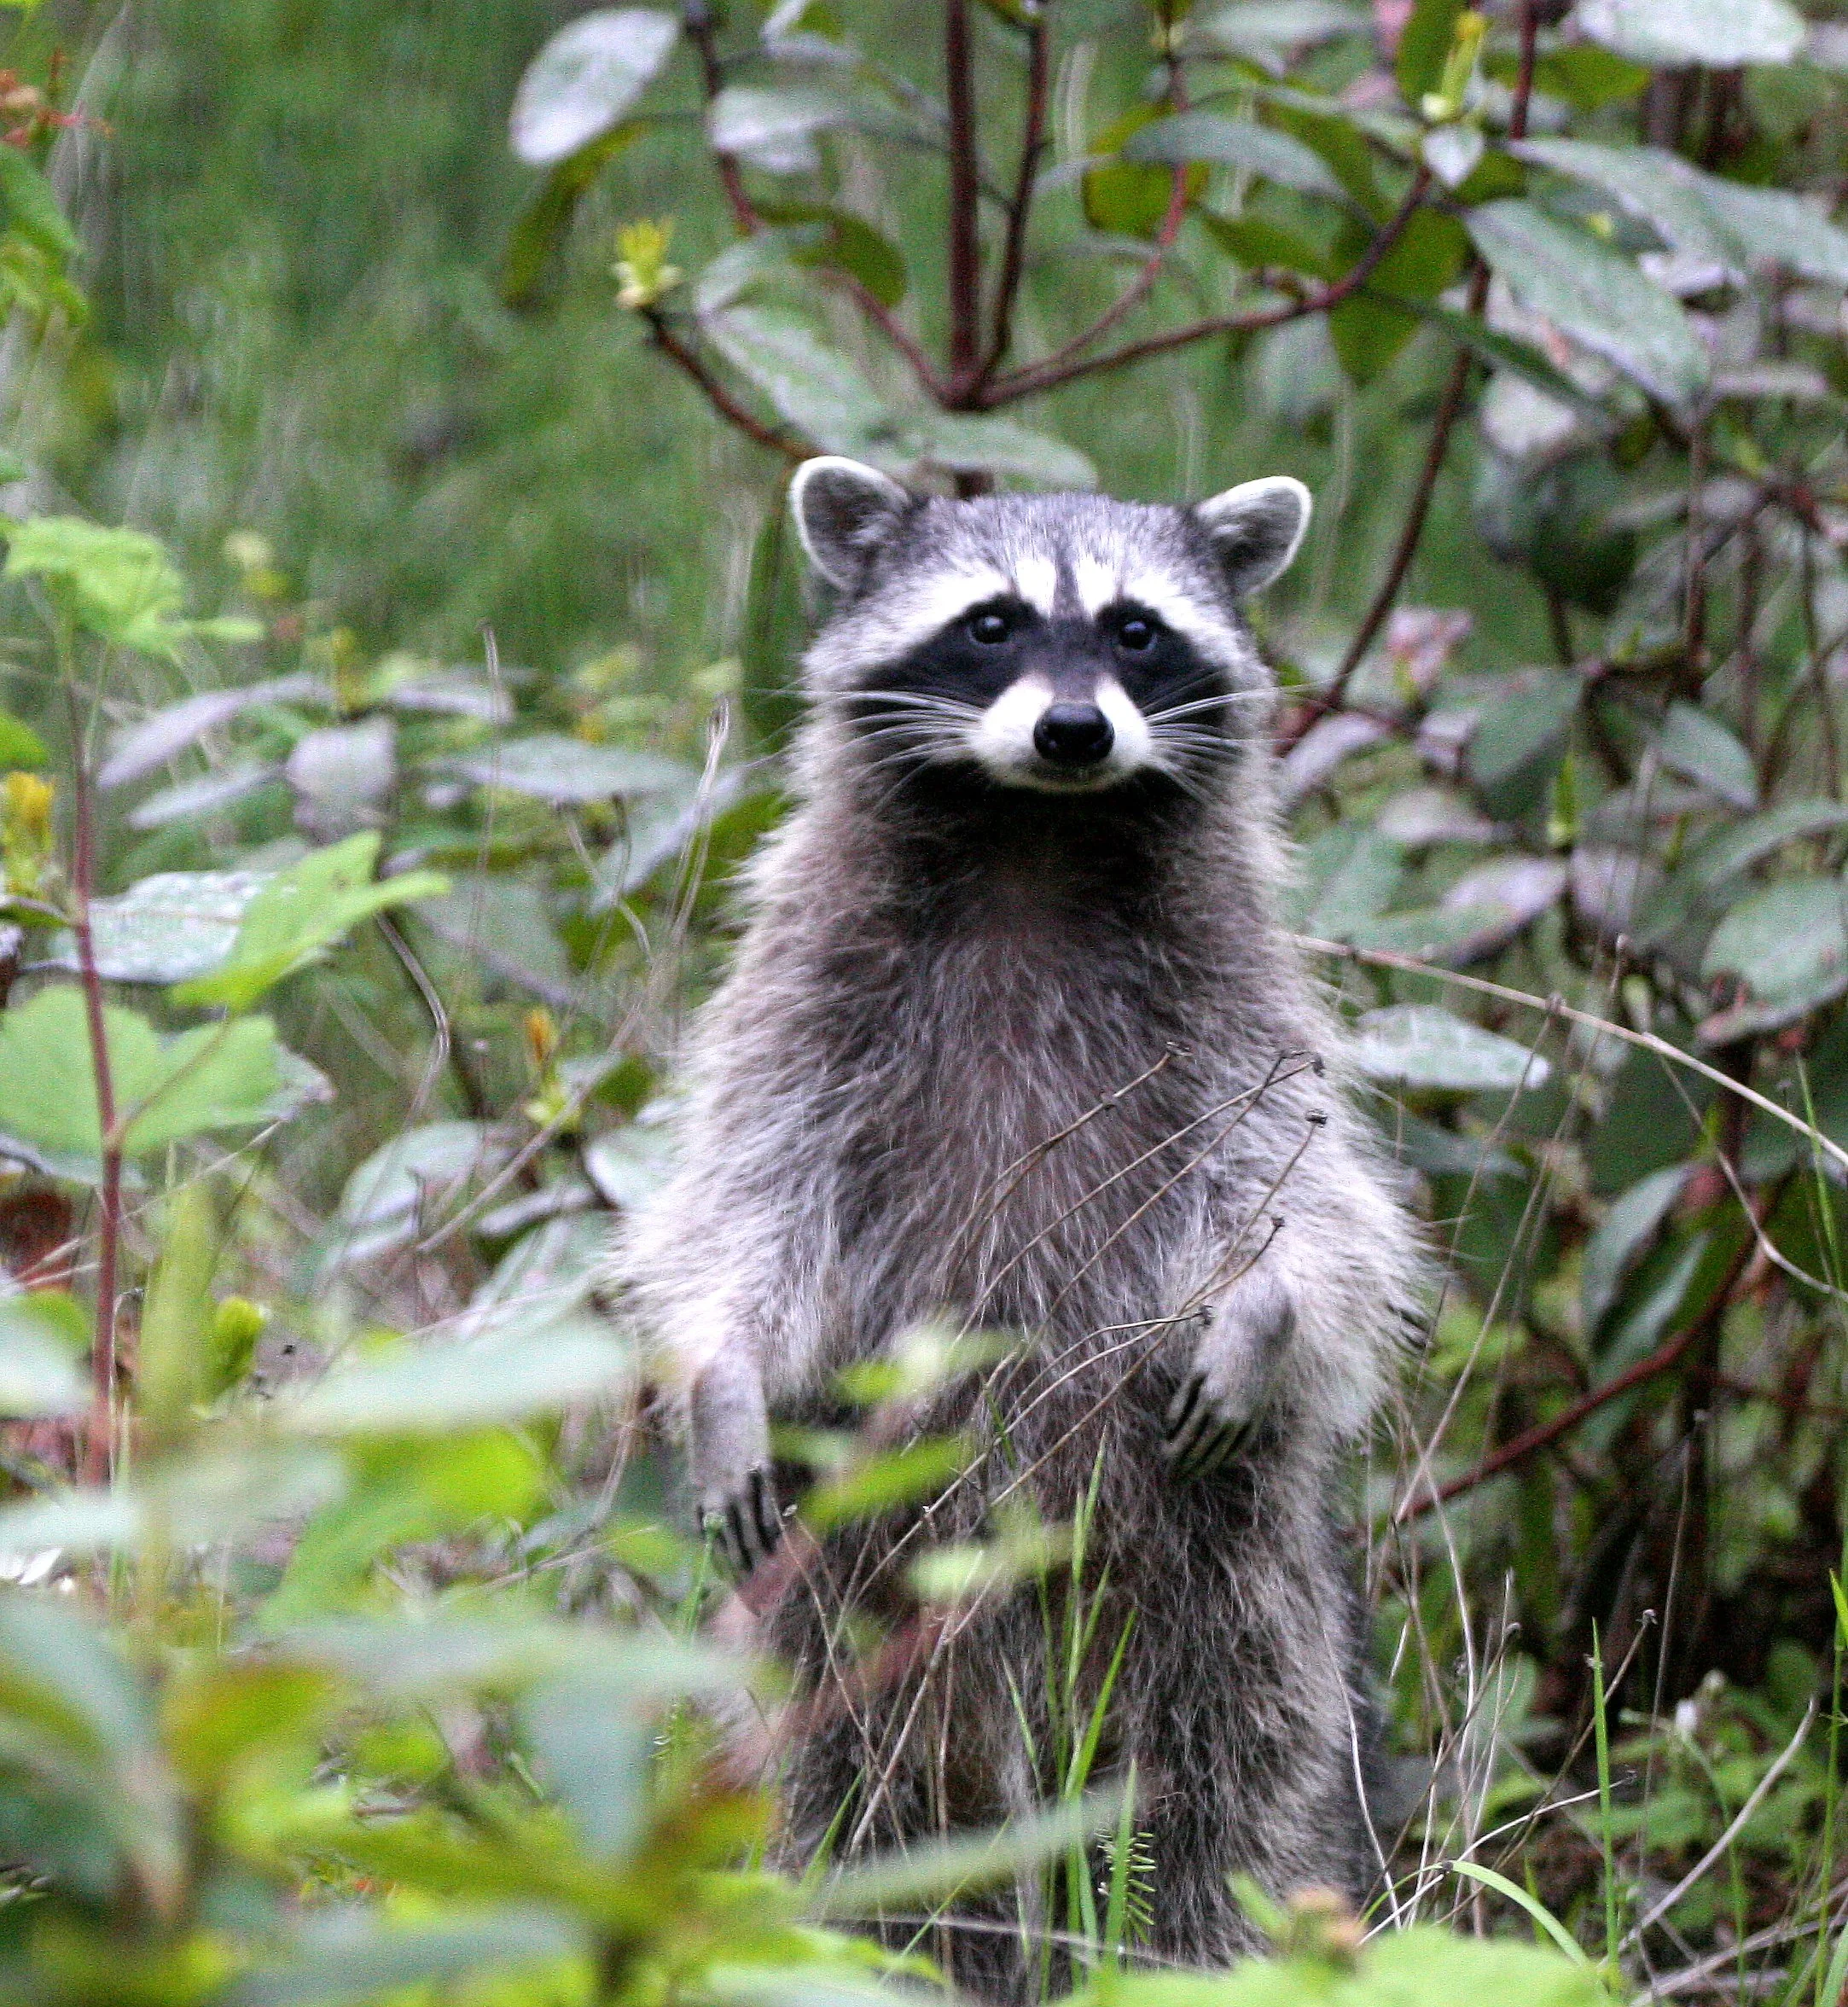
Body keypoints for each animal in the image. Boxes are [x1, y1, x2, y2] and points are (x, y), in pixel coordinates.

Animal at [619, 458, 1423, 1995]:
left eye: (1134, 631)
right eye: (990, 624)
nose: (1071, 730)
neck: (1035, 835)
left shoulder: (1241, 1006)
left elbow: (1310, 1202)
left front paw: (1263, 1309)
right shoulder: (797, 1002)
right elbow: (741, 1204)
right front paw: (722, 1373)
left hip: (1223, 1557)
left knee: (1220, 1768)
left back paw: (1196, 1943)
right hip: (867, 1557)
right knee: (884, 1780)